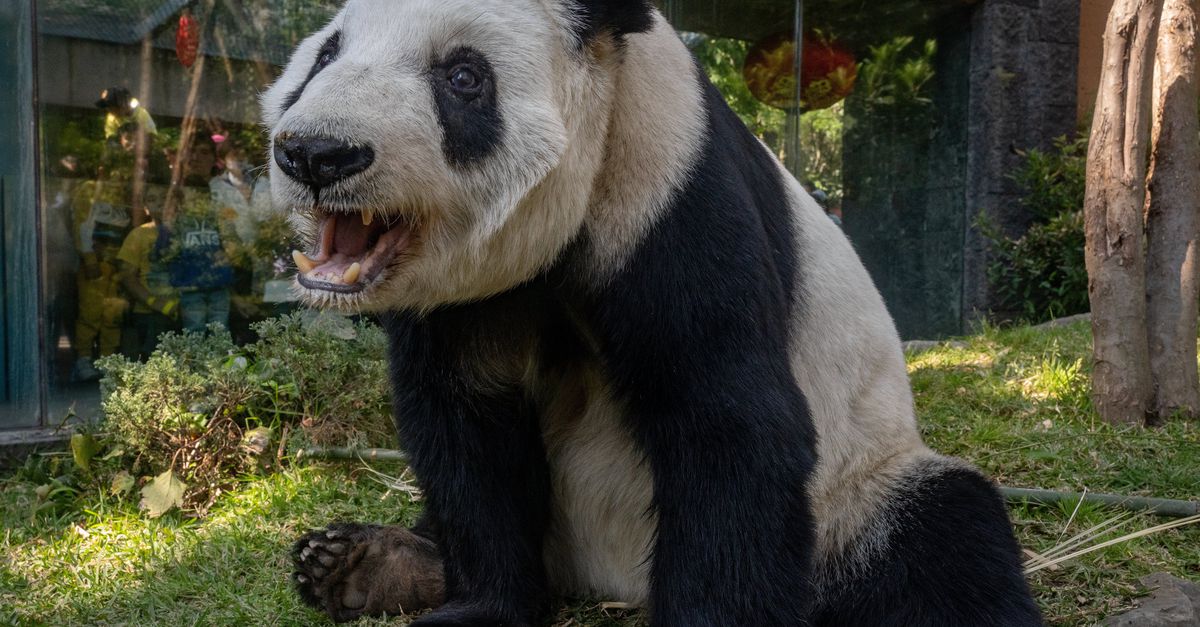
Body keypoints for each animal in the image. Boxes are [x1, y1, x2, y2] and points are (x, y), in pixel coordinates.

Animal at [263, 0, 1043, 624]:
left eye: (462, 76)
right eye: (325, 55)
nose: (319, 153)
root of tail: (607, 581)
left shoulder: (668, 188)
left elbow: (724, 419)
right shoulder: (463, 297)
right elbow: (467, 425)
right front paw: (479, 607)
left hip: (856, 493)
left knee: (944, 537)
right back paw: (360, 563)